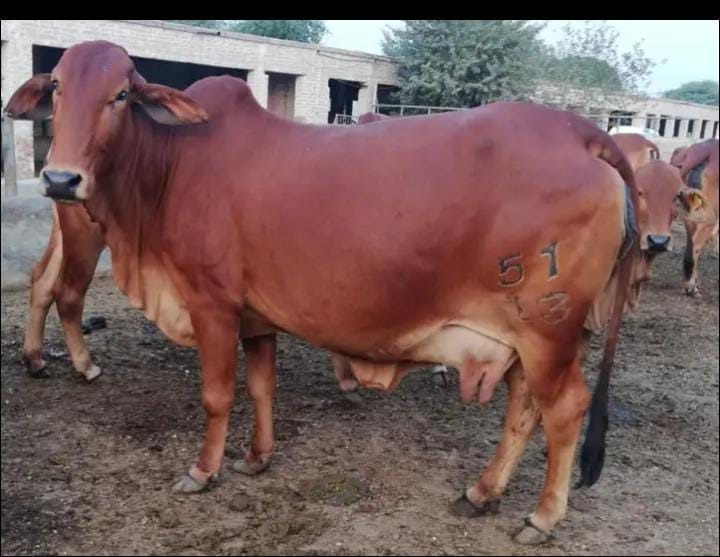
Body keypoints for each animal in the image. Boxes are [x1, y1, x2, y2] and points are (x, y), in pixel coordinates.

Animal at [7, 41, 647, 545]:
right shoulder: (256, 316)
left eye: (121, 93)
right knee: (524, 409)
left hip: (546, 330)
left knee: (564, 410)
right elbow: (262, 387)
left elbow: (218, 395)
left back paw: (541, 517)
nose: (60, 178)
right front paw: (257, 458)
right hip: (525, 338)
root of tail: (582, 132)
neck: (169, 168)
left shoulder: (212, 304)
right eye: (57, 86)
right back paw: (483, 491)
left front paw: (204, 471)